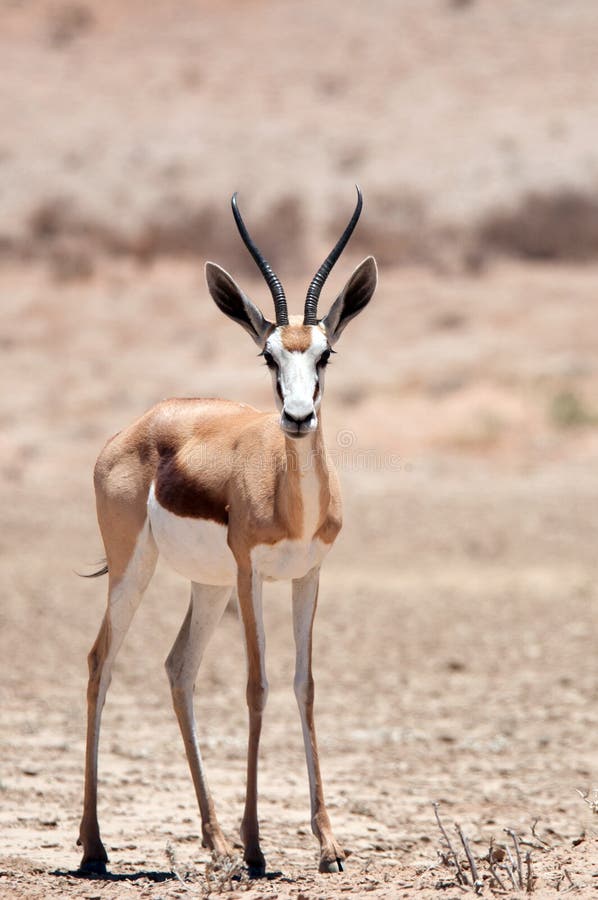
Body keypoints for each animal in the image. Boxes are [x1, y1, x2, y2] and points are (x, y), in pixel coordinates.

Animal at [77, 187, 378, 877]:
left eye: (324, 353)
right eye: (269, 355)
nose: (297, 417)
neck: (289, 498)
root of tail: (139, 426)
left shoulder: (309, 576)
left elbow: (304, 686)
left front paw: (328, 844)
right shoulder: (251, 575)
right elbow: (257, 687)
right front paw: (258, 844)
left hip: (207, 588)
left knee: (177, 669)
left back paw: (212, 839)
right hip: (136, 570)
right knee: (101, 662)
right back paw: (95, 846)